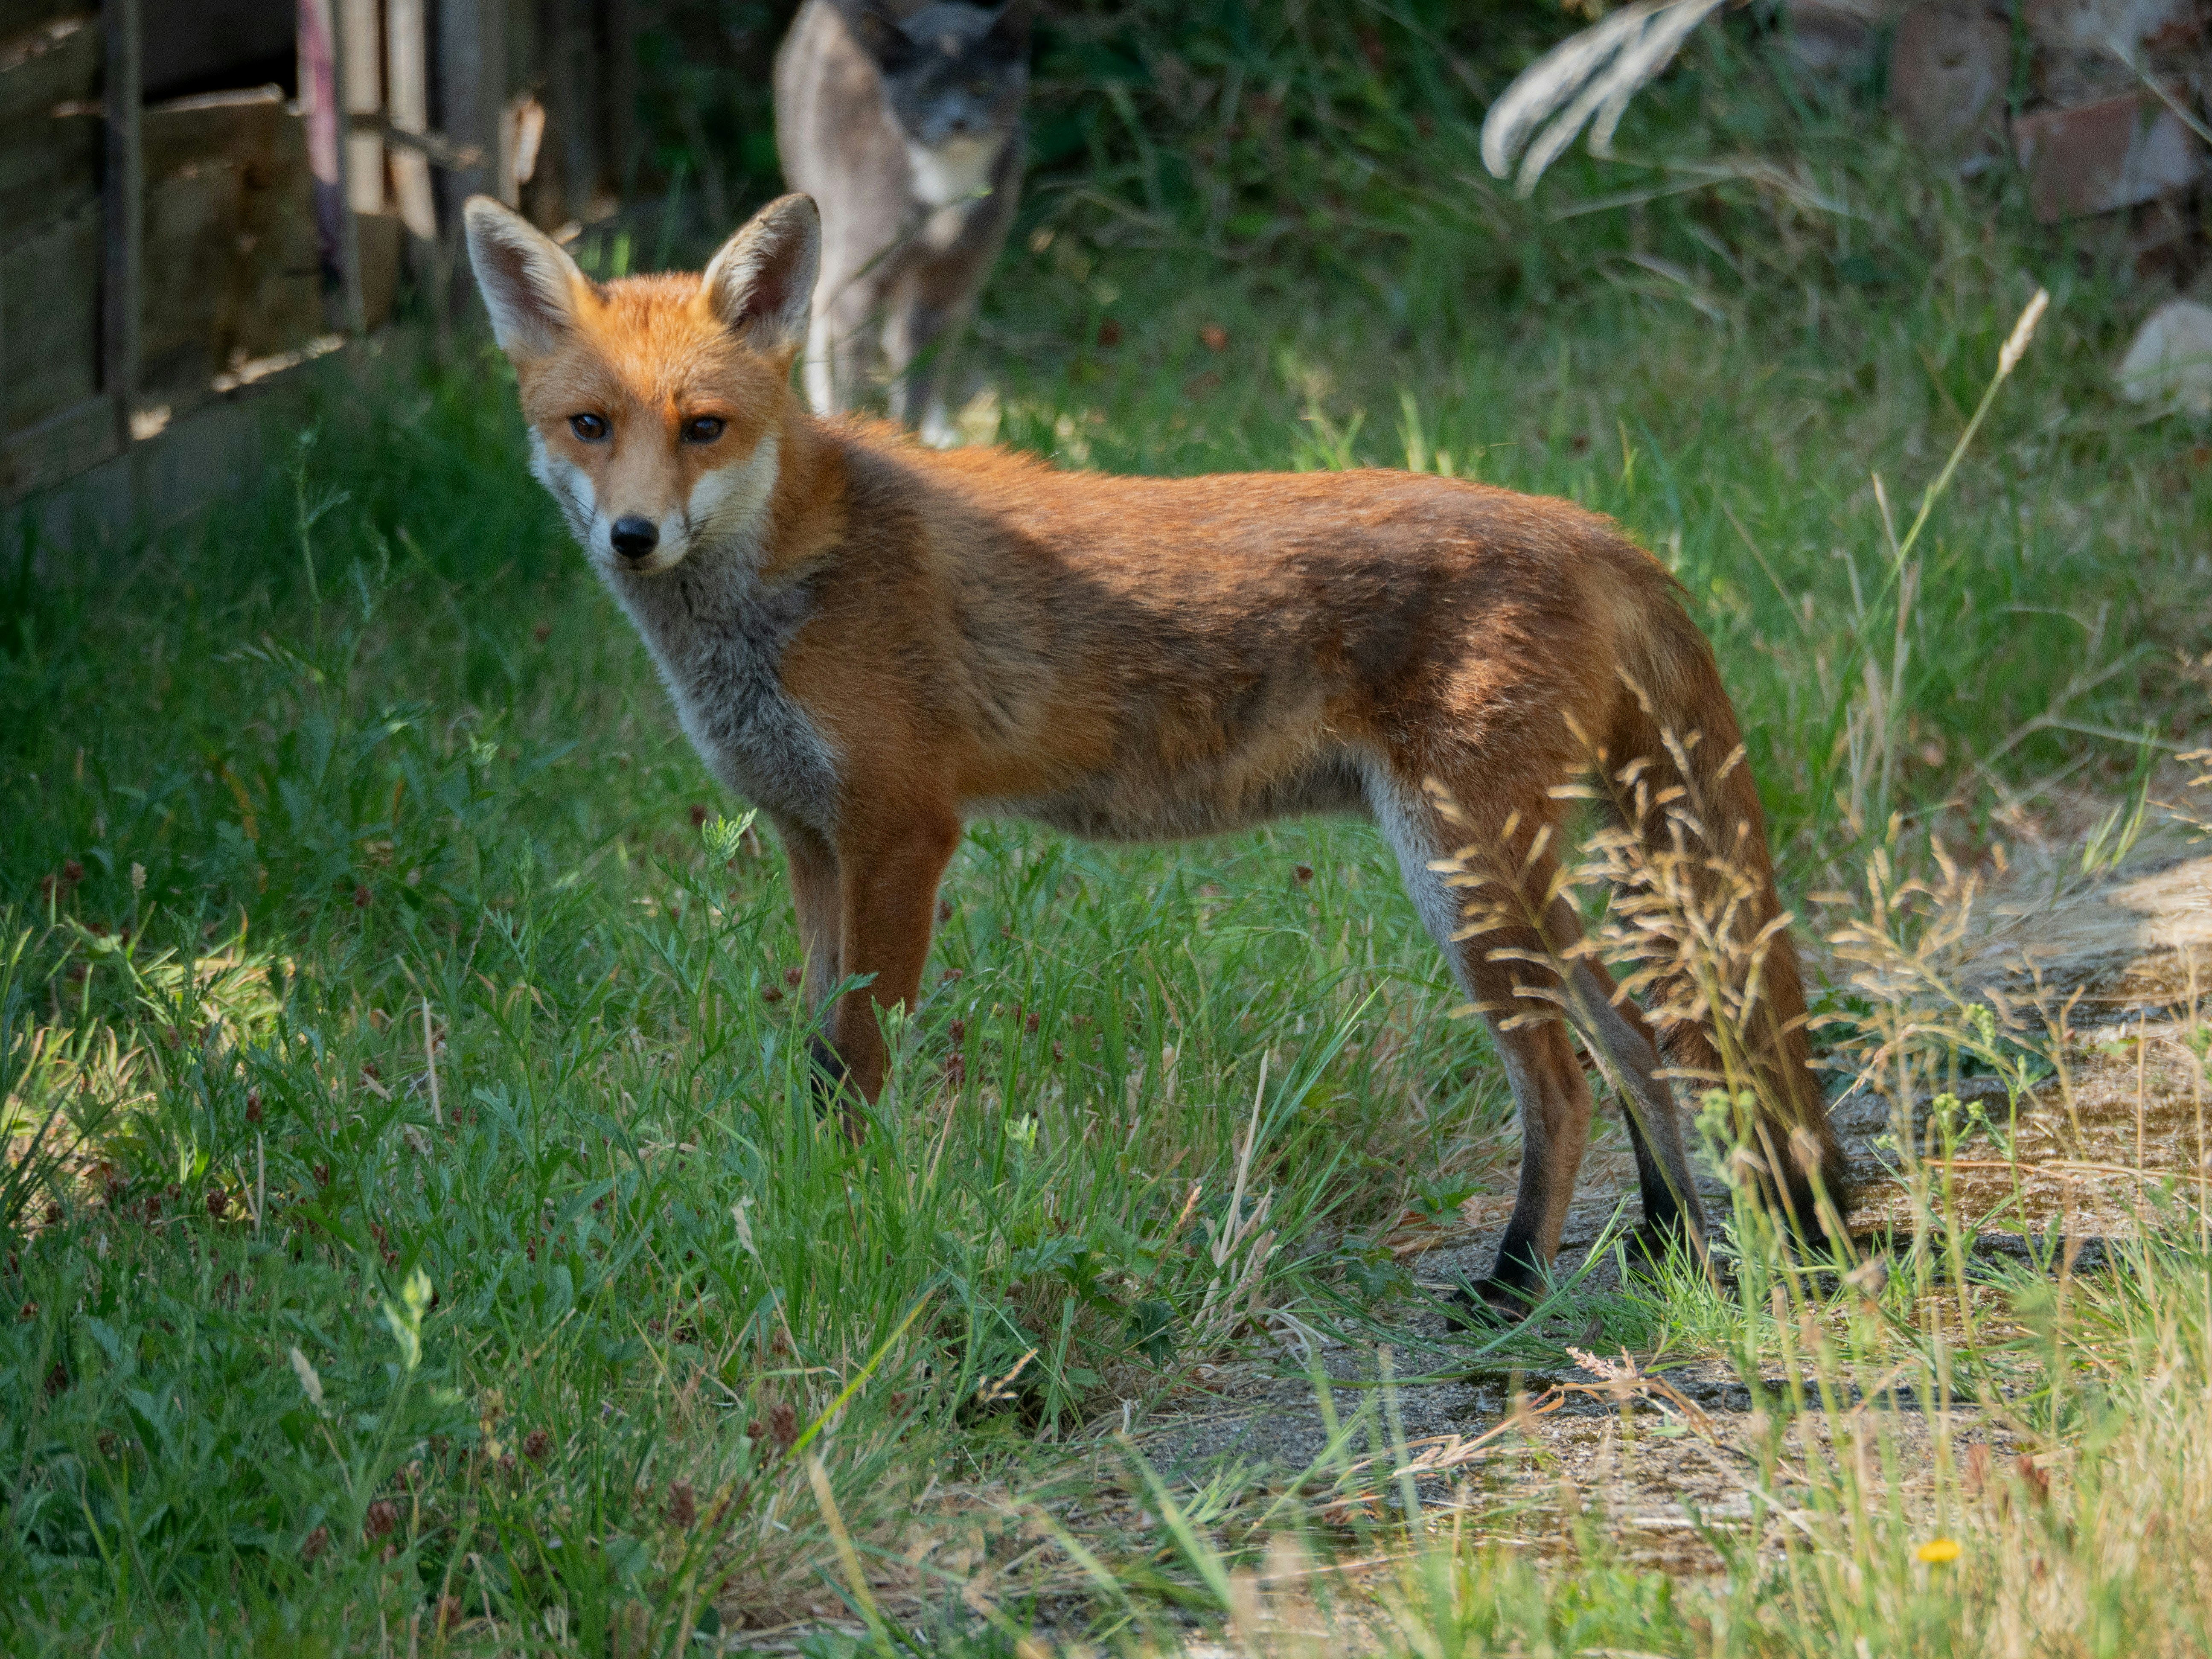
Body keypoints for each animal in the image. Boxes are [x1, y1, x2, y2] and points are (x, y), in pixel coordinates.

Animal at [462, 190, 1846, 1314]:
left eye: (702, 427)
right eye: (589, 425)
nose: (635, 537)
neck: (788, 584)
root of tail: (1580, 522)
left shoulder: (902, 833)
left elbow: (856, 1064)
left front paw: (844, 1235)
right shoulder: (810, 840)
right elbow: (813, 1063)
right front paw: (805, 1207)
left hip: (1459, 872)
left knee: (1560, 1079)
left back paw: (1513, 1285)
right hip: (1504, 872)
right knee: (1640, 1033)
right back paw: (1667, 1241)